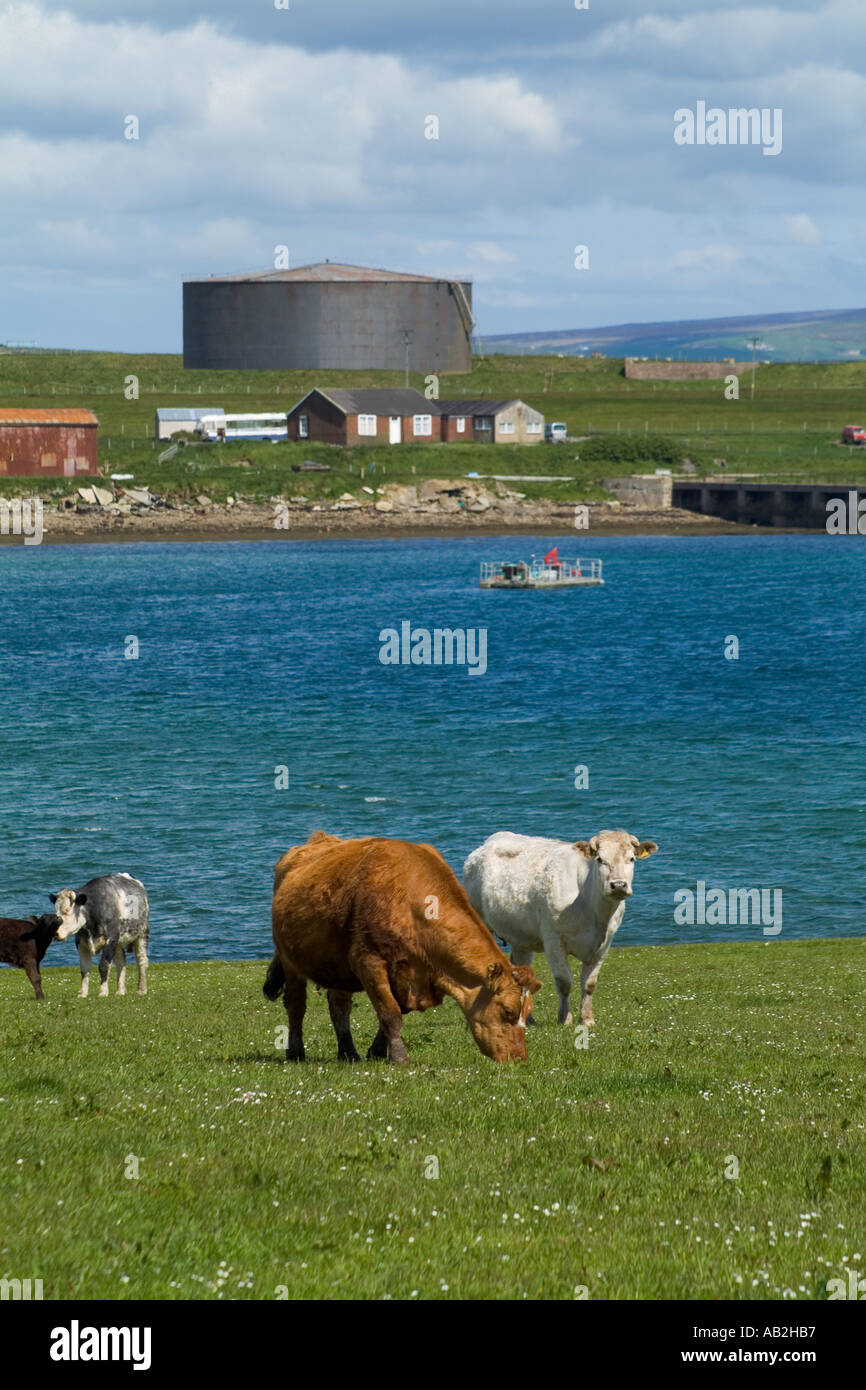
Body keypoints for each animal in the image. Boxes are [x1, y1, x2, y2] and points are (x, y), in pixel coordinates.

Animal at [264, 831, 541, 1064]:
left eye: (528, 1013)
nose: (518, 1058)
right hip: (290, 961)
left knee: (339, 1006)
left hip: (335, 965)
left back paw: (348, 1052)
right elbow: (390, 1012)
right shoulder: (368, 962)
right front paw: (398, 1057)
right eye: (508, 1011)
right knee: (296, 1005)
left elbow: (397, 1011)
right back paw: (296, 1052)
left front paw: (376, 1052)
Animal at [463, 830, 658, 1028]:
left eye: (632, 858)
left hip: (521, 938)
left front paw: (587, 1019)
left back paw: (528, 1019)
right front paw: (565, 1018)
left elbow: (589, 984)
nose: (618, 885)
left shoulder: (604, 943)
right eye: (599, 859)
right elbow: (564, 982)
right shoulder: (553, 939)